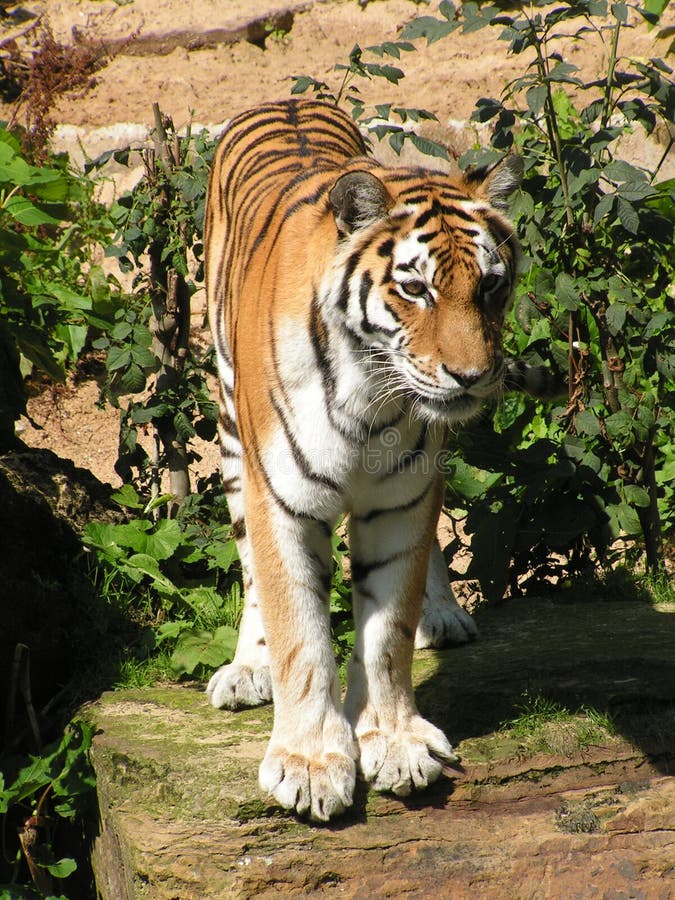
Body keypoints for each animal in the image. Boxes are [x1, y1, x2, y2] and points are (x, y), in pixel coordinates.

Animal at [204, 98, 524, 821]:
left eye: (490, 288)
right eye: (416, 290)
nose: (472, 377)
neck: (368, 396)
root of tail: (287, 99)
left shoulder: (402, 499)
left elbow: (386, 632)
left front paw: (394, 740)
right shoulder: (282, 501)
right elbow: (301, 635)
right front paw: (310, 763)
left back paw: (441, 614)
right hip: (233, 436)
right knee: (250, 568)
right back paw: (249, 668)